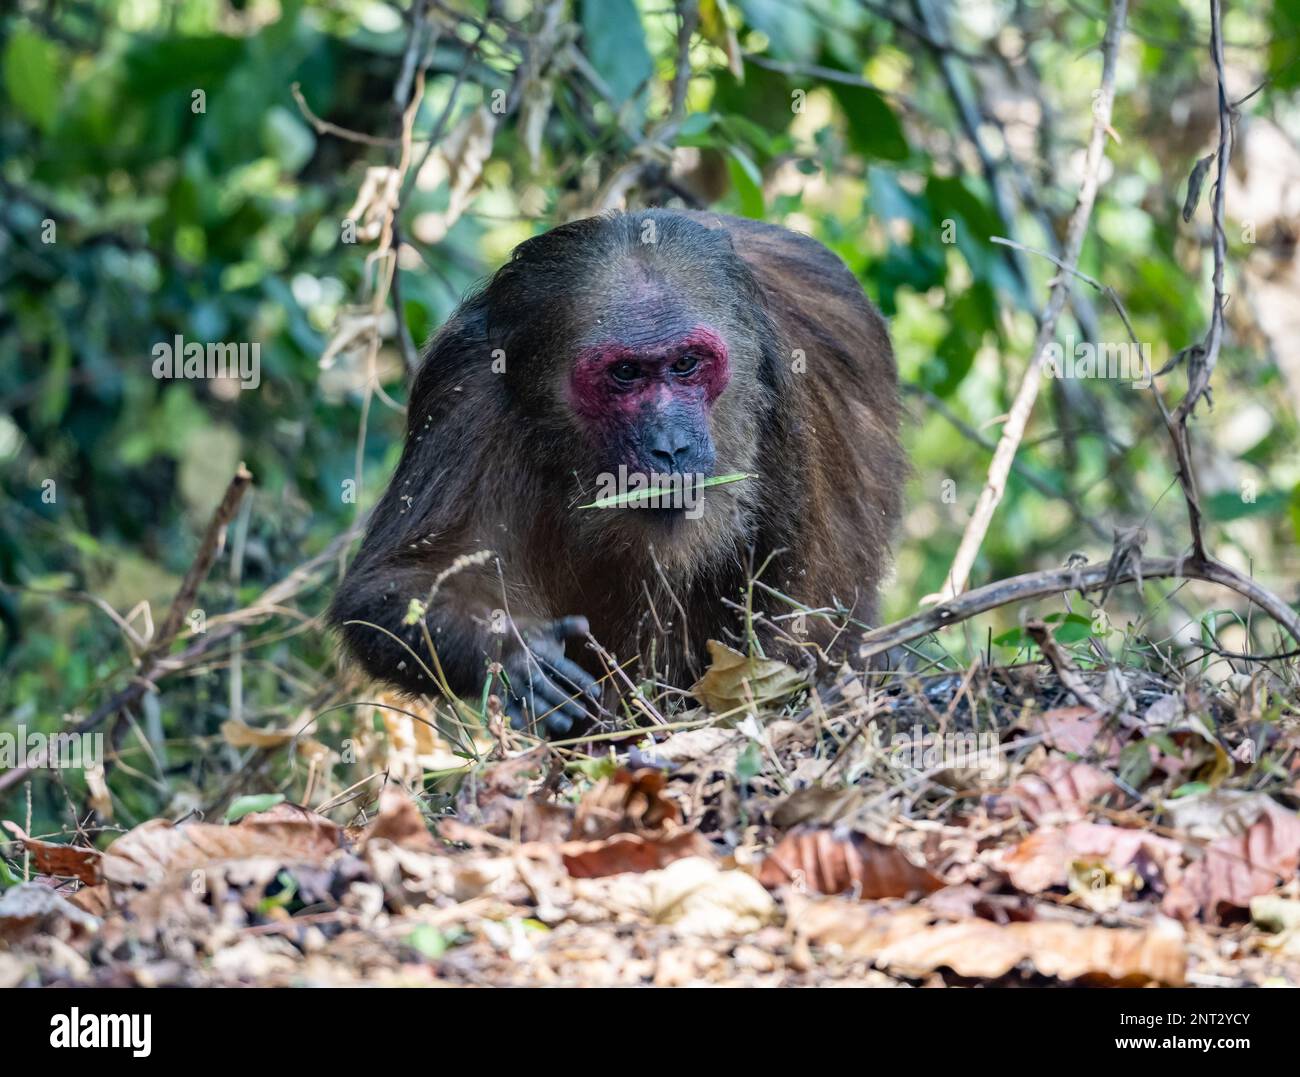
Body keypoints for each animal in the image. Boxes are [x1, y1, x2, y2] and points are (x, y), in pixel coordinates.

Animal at [329, 209, 904, 734]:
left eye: (686, 365)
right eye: (625, 374)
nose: (670, 446)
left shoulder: (794, 389)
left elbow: (809, 621)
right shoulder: (462, 390)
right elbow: (401, 582)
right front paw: (519, 655)